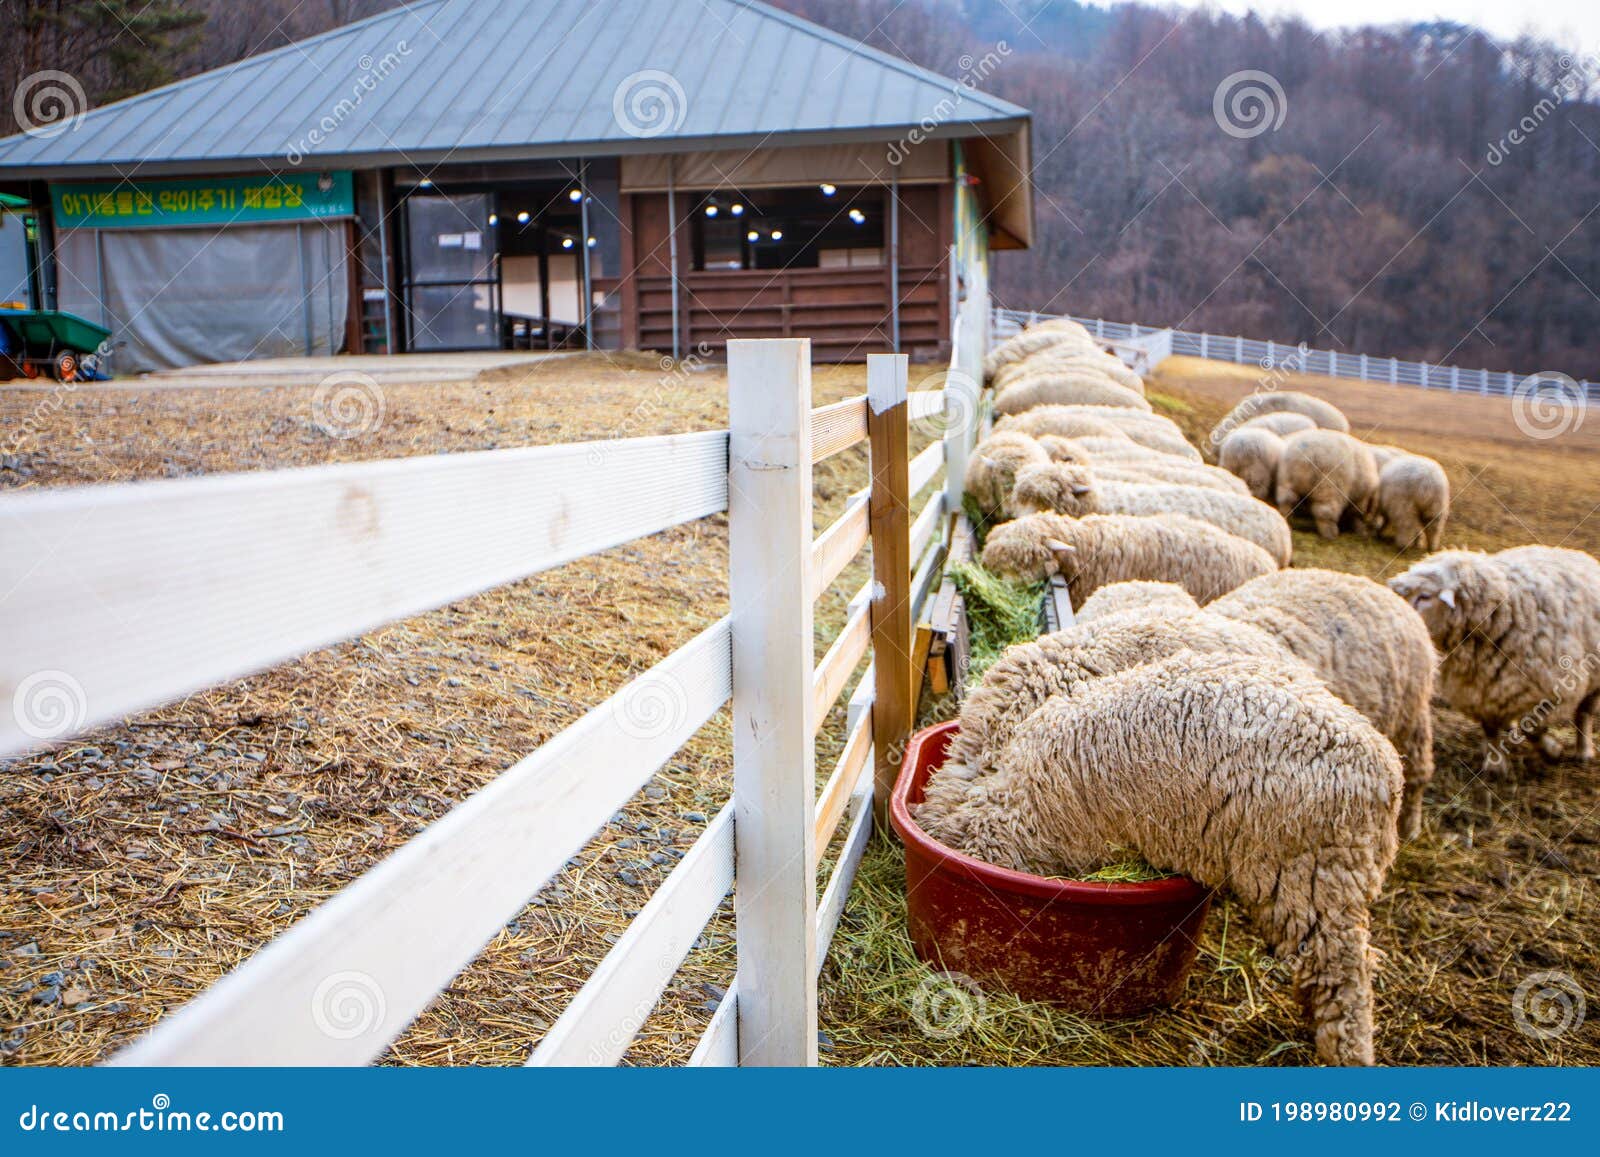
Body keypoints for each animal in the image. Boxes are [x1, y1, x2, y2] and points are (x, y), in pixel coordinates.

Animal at [1388, 547, 1600, 775]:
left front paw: (1552, 750)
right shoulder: (1479, 688)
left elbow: (1534, 728)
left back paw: (1583, 751)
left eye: (1425, 596)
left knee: (1584, 714)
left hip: (1594, 679)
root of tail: (1575, 553)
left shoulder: (1554, 690)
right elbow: (1490, 728)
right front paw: (1494, 765)